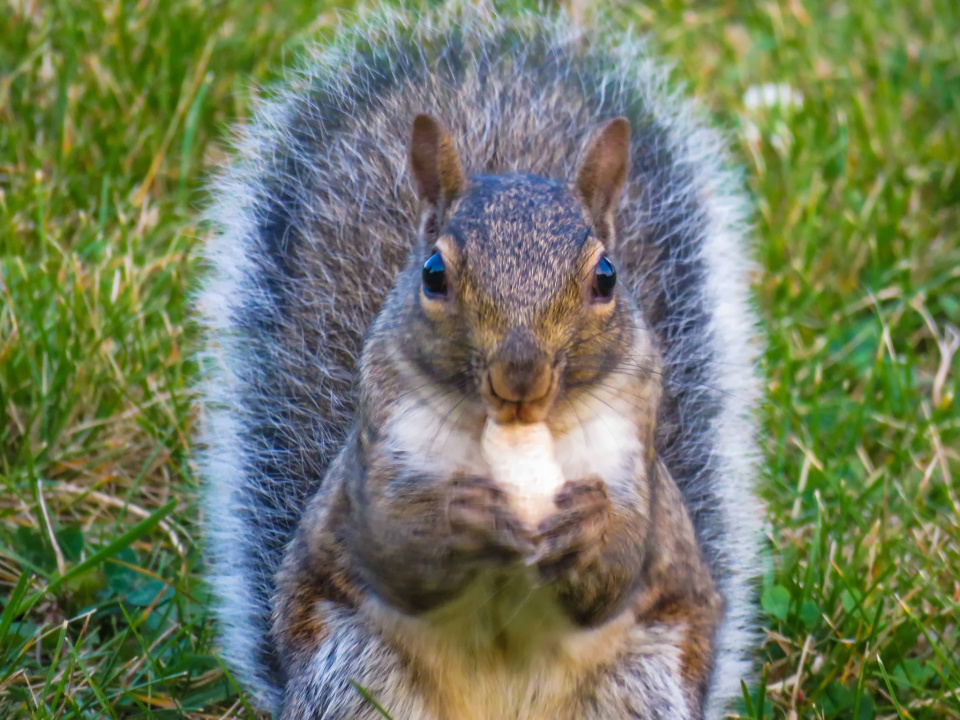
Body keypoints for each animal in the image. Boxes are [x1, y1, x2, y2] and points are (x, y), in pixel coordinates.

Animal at [196, 3, 764, 719]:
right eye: (434, 274)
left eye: (606, 276)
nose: (520, 377)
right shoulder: (380, 455)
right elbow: (394, 548)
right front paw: (460, 515)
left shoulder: (635, 468)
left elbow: (619, 568)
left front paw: (587, 527)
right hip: (353, 675)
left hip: (638, 688)